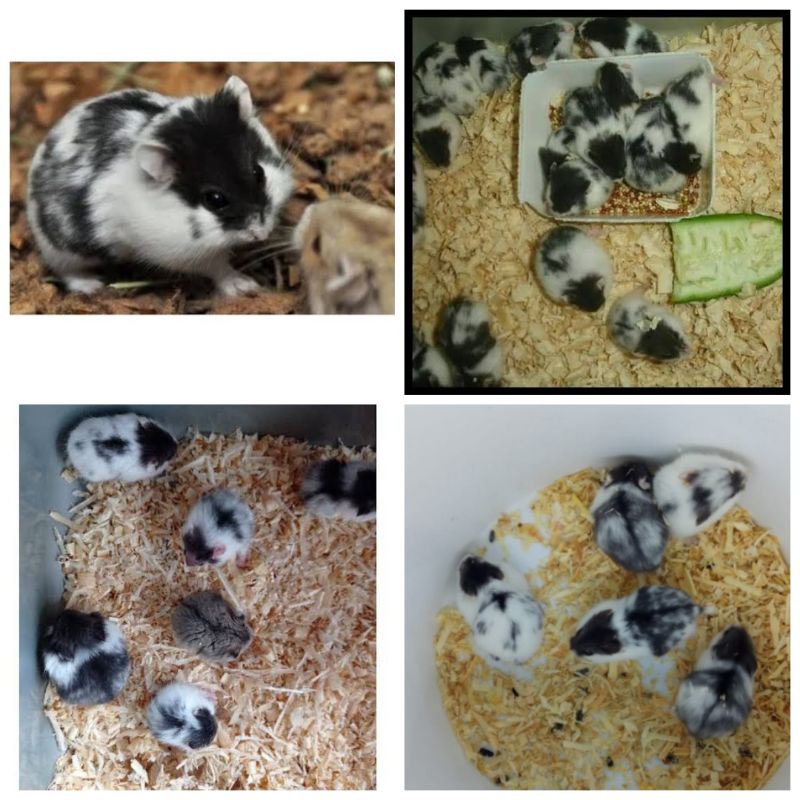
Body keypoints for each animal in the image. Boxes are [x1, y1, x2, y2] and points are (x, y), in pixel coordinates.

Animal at [27, 76, 293, 297]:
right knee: (67, 271)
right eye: (214, 199)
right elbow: (218, 267)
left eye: (259, 173)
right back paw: (92, 287)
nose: (262, 233)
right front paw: (246, 287)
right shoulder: (184, 254)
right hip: (63, 251)